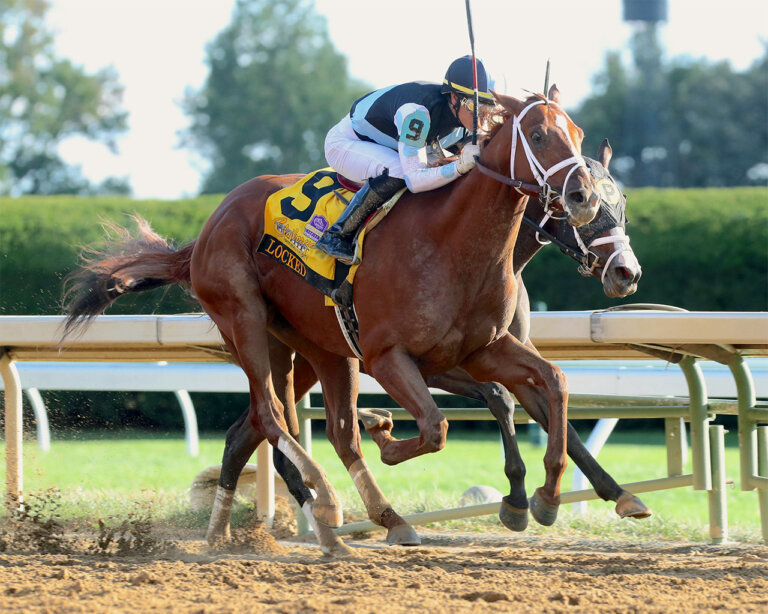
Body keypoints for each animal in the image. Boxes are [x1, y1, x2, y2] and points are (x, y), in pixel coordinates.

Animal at [63, 88, 600, 556]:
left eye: (577, 131)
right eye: (538, 134)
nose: (583, 196)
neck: (453, 244)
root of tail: (205, 230)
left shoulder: (481, 349)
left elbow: (553, 380)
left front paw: (546, 498)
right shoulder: (388, 356)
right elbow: (436, 426)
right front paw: (385, 433)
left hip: (314, 345)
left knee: (314, 431)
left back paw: (317, 528)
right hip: (244, 319)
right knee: (272, 416)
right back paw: (326, 501)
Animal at [206, 139, 648, 547]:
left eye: (622, 204)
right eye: (583, 205)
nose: (627, 273)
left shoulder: (498, 351)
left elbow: (551, 412)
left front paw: (617, 494)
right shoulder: (428, 362)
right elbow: (498, 397)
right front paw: (518, 497)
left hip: (305, 354)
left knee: (246, 431)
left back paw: (224, 529)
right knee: (269, 422)